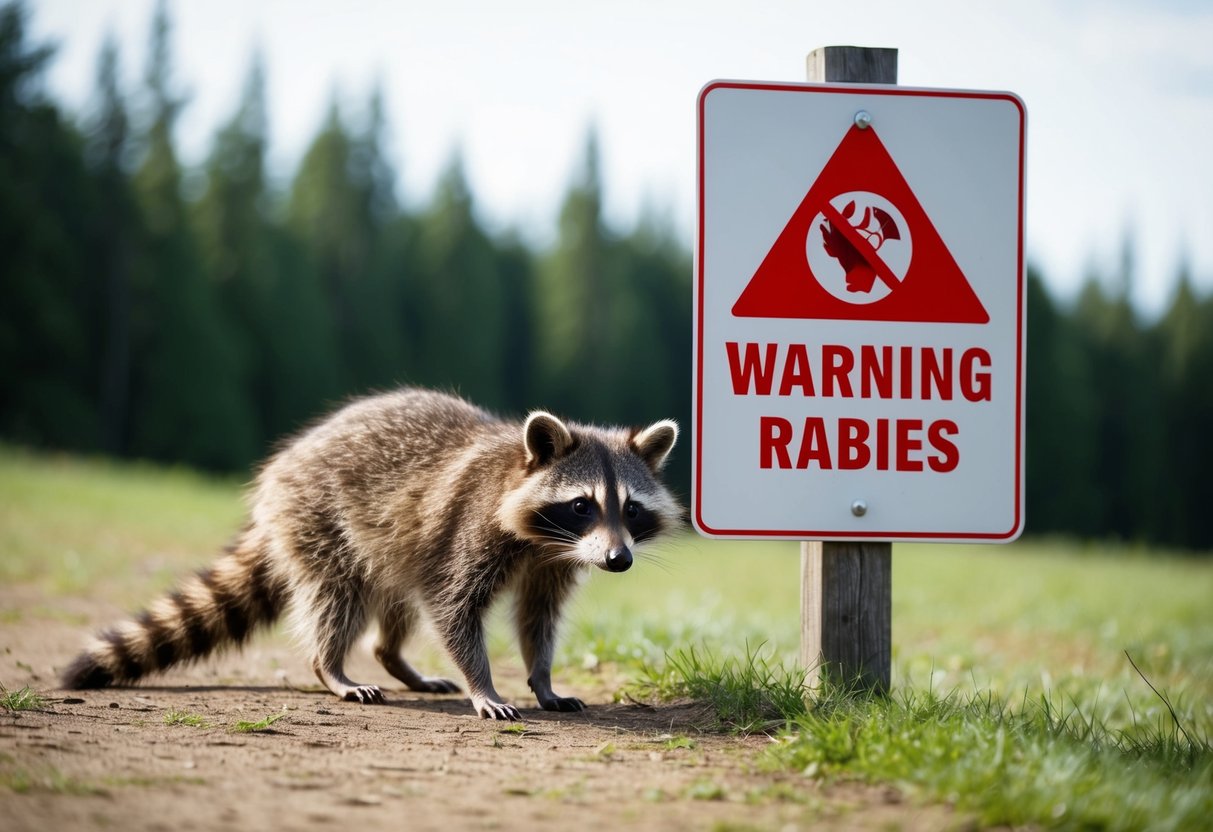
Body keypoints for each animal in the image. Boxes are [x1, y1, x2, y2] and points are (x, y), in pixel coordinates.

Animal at [60, 389, 681, 719]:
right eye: (581, 505)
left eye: (630, 509)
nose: (619, 560)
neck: (541, 536)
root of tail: (282, 471)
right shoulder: (469, 530)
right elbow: (453, 608)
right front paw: (484, 684)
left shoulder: (551, 563)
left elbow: (538, 617)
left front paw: (542, 678)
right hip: (322, 520)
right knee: (338, 599)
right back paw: (331, 666)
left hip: (392, 546)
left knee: (396, 603)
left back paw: (393, 657)